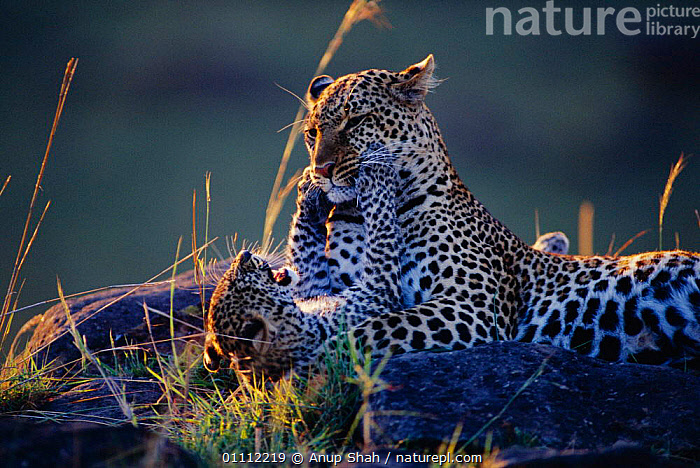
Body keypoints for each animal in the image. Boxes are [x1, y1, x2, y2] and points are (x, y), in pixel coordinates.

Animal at [204, 55, 700, 377]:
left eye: (354, 122)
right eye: (311, 133)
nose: (320, 169)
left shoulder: (470, 304)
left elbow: (373, 326)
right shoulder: (337, 286)